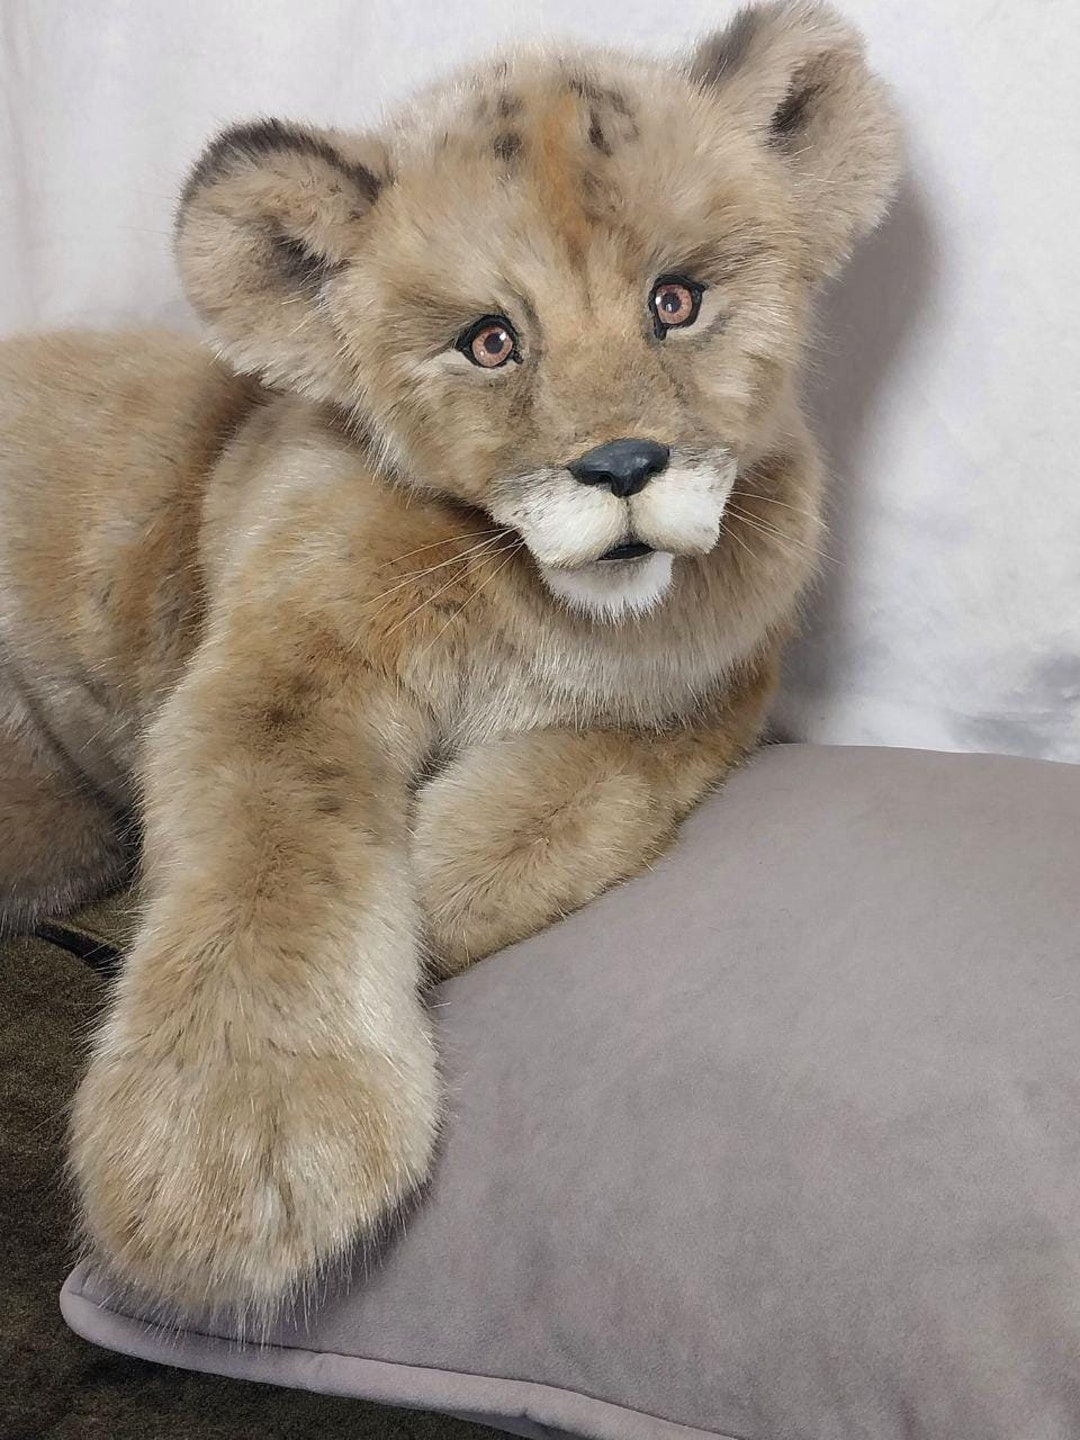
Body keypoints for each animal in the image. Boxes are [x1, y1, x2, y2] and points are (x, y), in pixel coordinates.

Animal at [0, 1, 900, 1318]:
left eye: (675, 302)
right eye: (490, 341)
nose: (623, 466)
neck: (546, 609)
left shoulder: (693, 712)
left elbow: (539, 821)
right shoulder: (280, 678)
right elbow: (269, 856)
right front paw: (240, 1151)